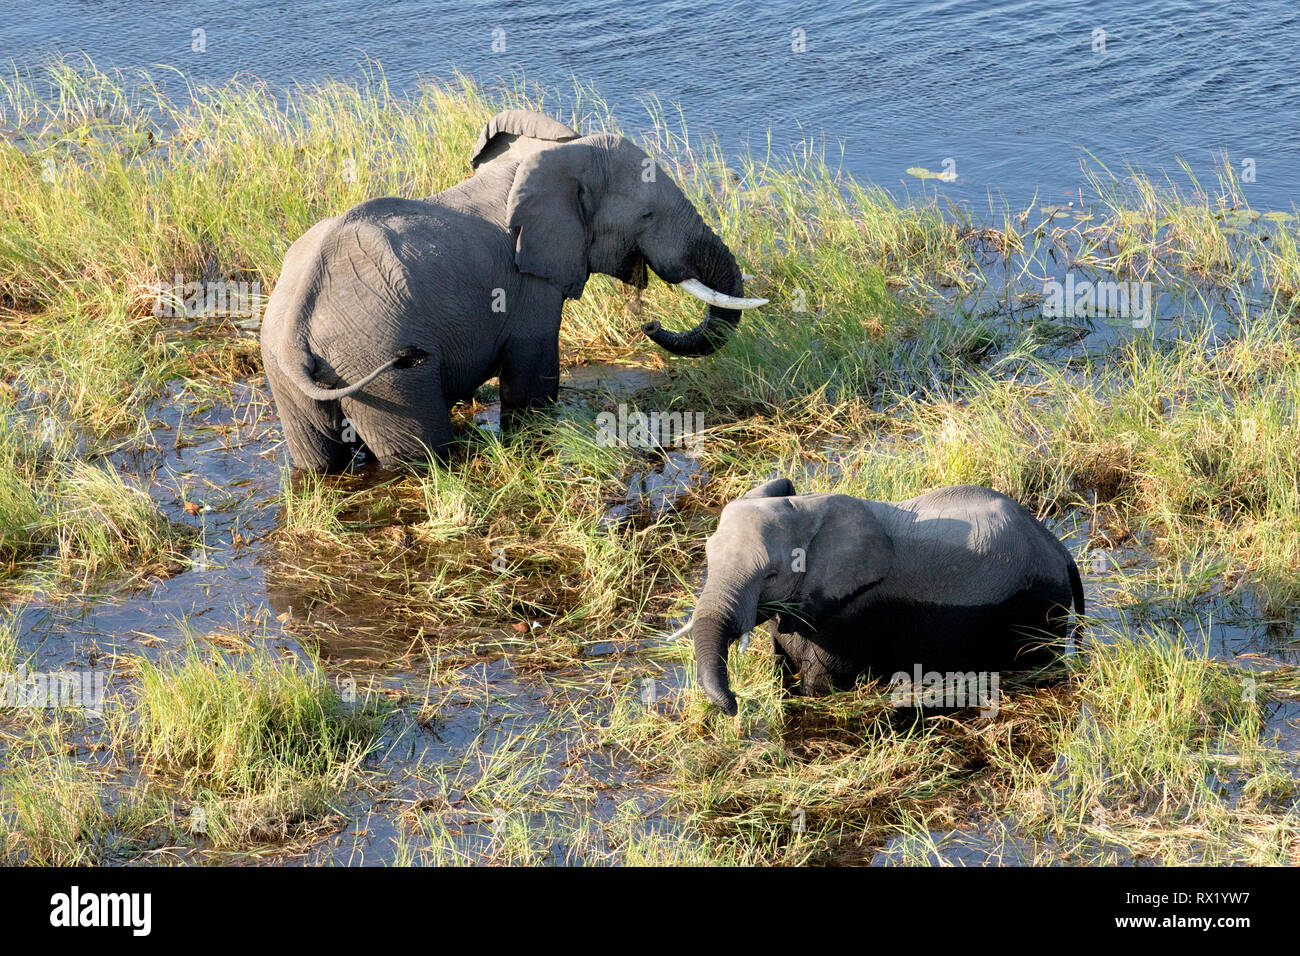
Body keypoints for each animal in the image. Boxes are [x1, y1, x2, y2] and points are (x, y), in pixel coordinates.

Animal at [260, 109, 767, 471]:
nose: (650, 323)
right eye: (646, 216)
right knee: (417, 453)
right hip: (379, 369)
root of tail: (296, 334)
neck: (544, 163)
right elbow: (532, 382)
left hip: (291, 375)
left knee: (318, 462)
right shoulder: (529, 286)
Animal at [676, 479, 1085, 715]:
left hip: (1036, 606)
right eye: (709, 557)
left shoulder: (852, 613)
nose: (734, 706)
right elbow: (783, 670)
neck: (808, 509)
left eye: (770, 576)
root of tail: (1059, 548)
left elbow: (818, 688)